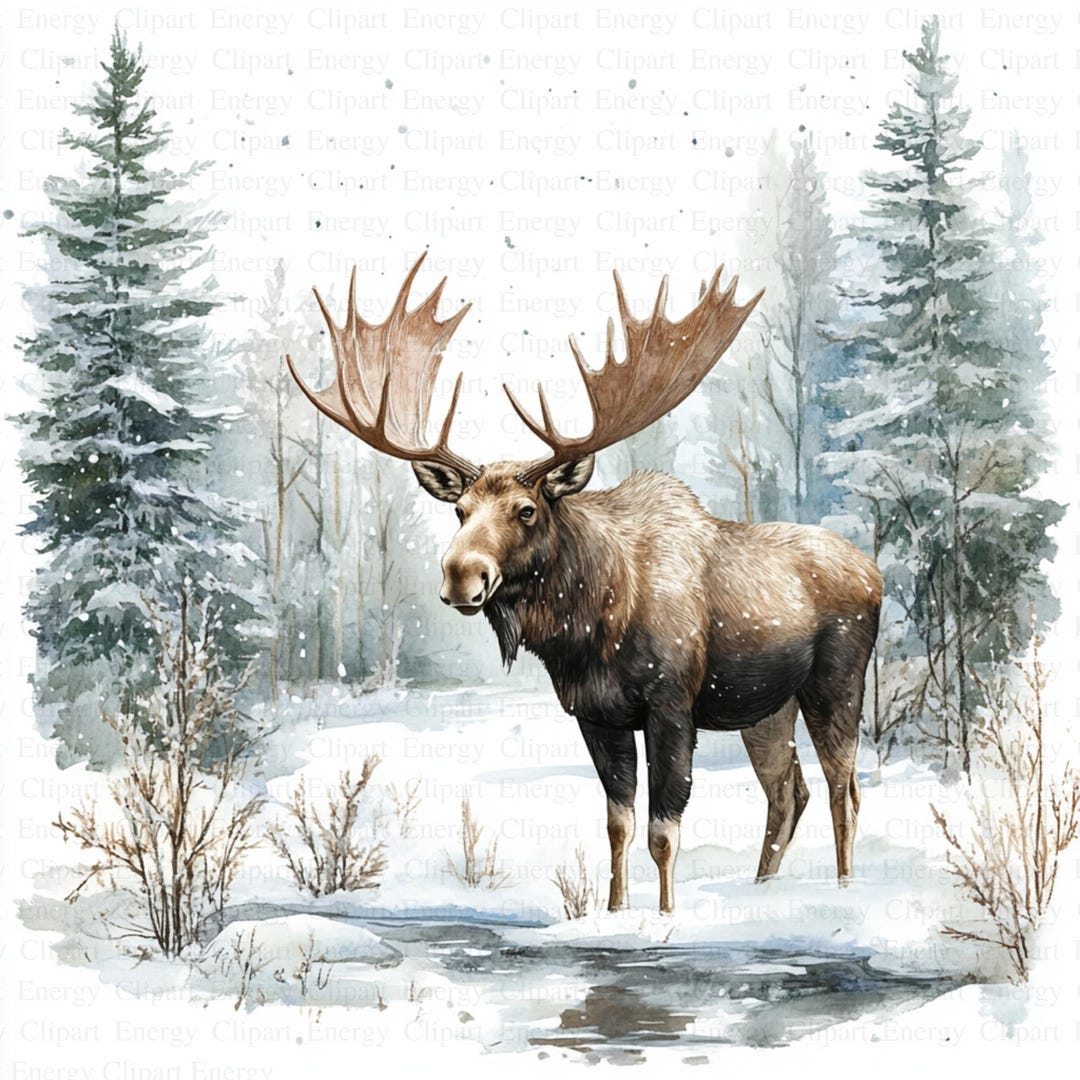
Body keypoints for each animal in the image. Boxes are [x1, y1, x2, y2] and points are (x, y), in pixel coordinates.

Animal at [287, 254, 883, 914]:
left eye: (526, 509)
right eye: (459, 510)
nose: (461, 575)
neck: (591, 628)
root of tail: (874, 571)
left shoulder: (671, 706)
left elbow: (663, 831)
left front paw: (664, 917)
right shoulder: (596, 715)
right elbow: (617, 825)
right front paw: (613, 911)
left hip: (837, 681)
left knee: (843, 790)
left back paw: (846, 889)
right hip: (763, 706)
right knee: (786, 791)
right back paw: (762, 891)